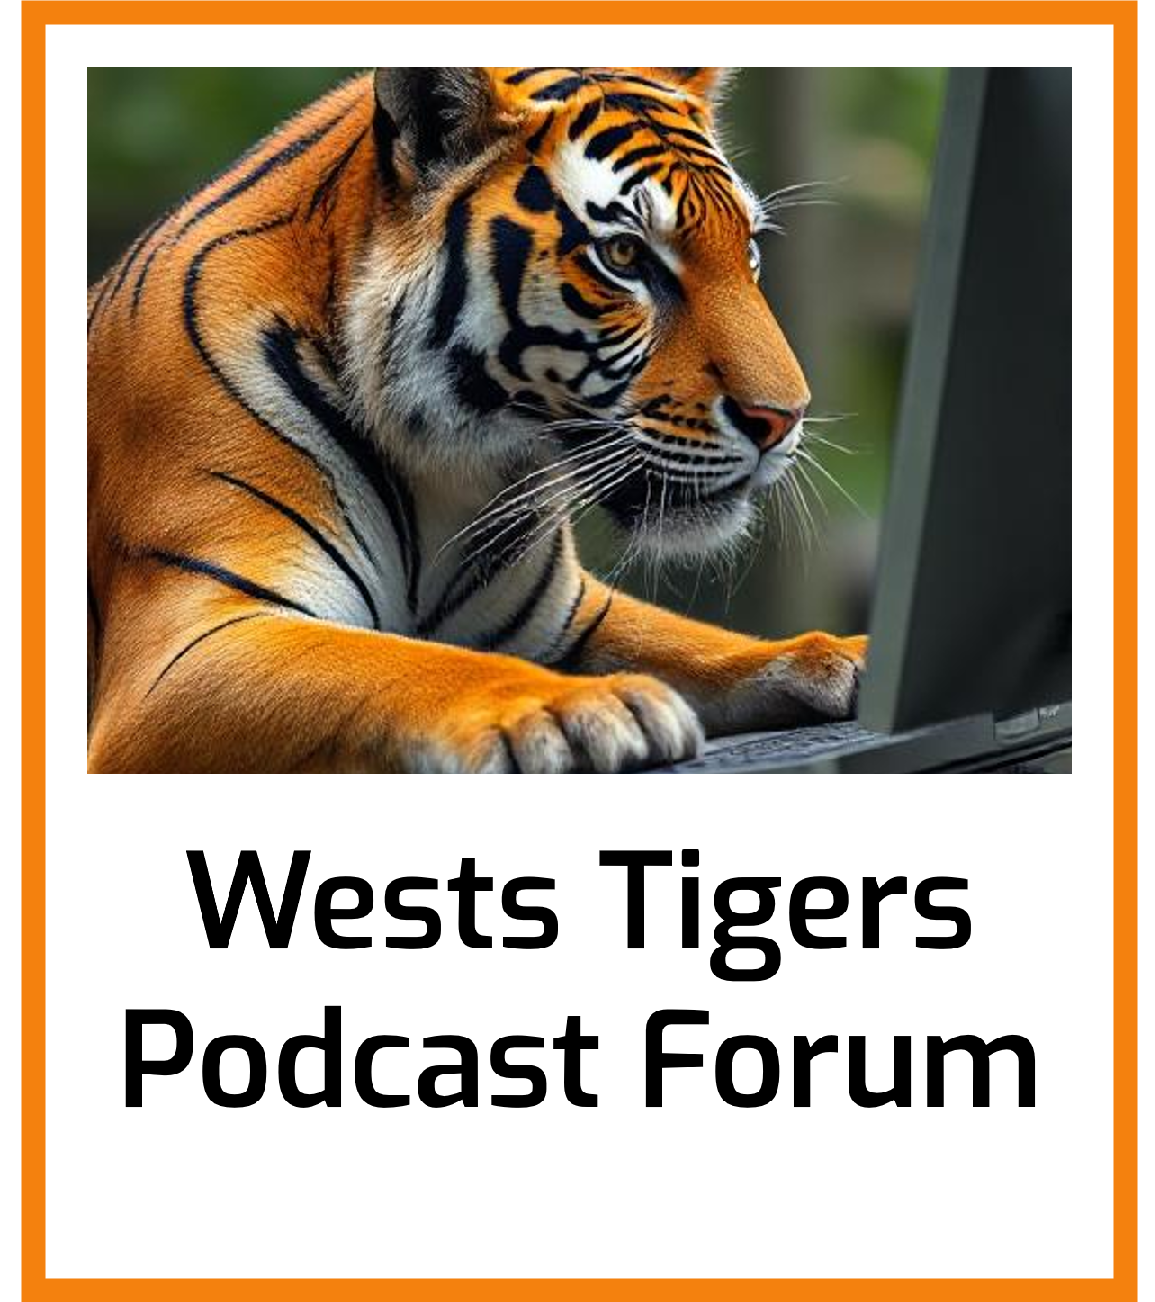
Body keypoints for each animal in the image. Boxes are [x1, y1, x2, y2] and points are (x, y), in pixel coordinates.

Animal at [86, 66, 867, 774]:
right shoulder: (187, 648)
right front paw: (580, 706)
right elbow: (410, 664)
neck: (443, 475)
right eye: (623, 255)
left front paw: (851, 655)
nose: (783, 418)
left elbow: (703, 642)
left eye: (748, 250)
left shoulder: (571, 614)